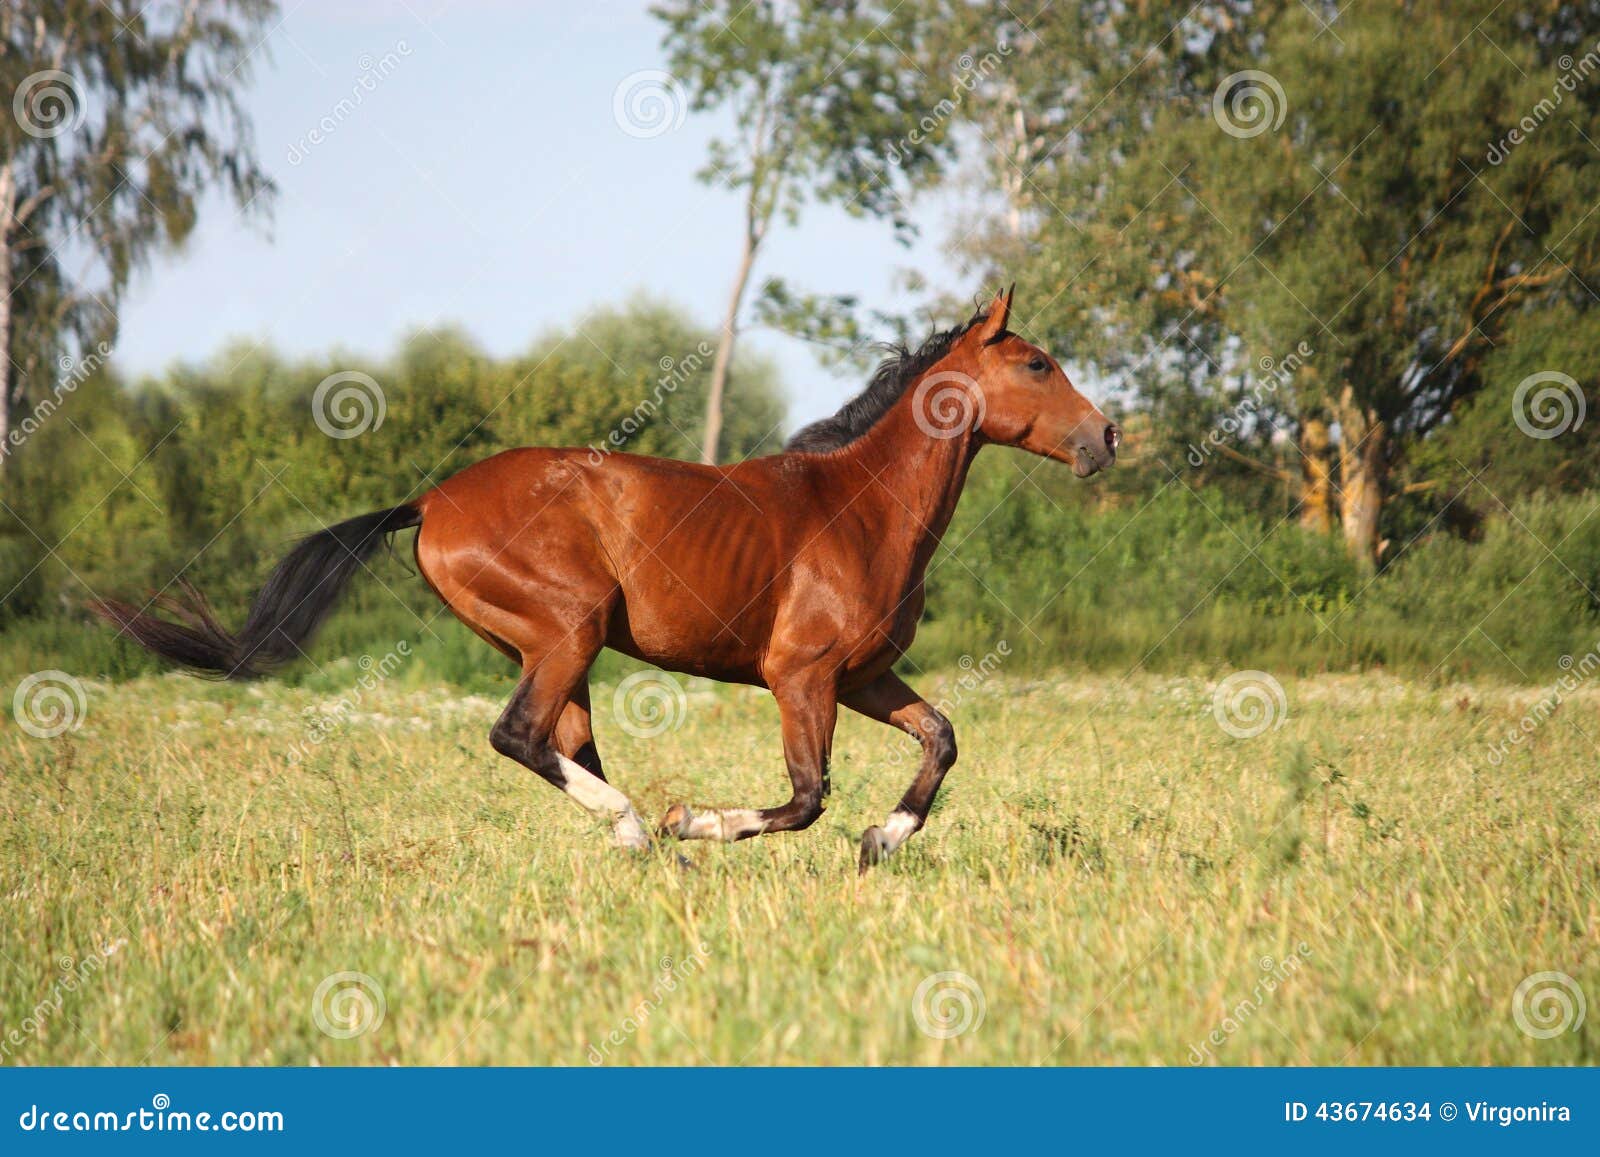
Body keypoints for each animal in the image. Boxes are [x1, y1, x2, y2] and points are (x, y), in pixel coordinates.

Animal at [92, 287, 1119, 871]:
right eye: (1037, 362)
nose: (1106, 436)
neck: (860, 507)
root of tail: (431, 500)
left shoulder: (863, 674)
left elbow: (940, 739)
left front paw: (880, 841)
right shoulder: (802, 676)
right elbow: (804, 795)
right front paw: (694, 821)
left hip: (557, 648)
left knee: (565, 745)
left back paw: (646, 849)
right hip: (566, 630)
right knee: (519, 735)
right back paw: (643, 832)